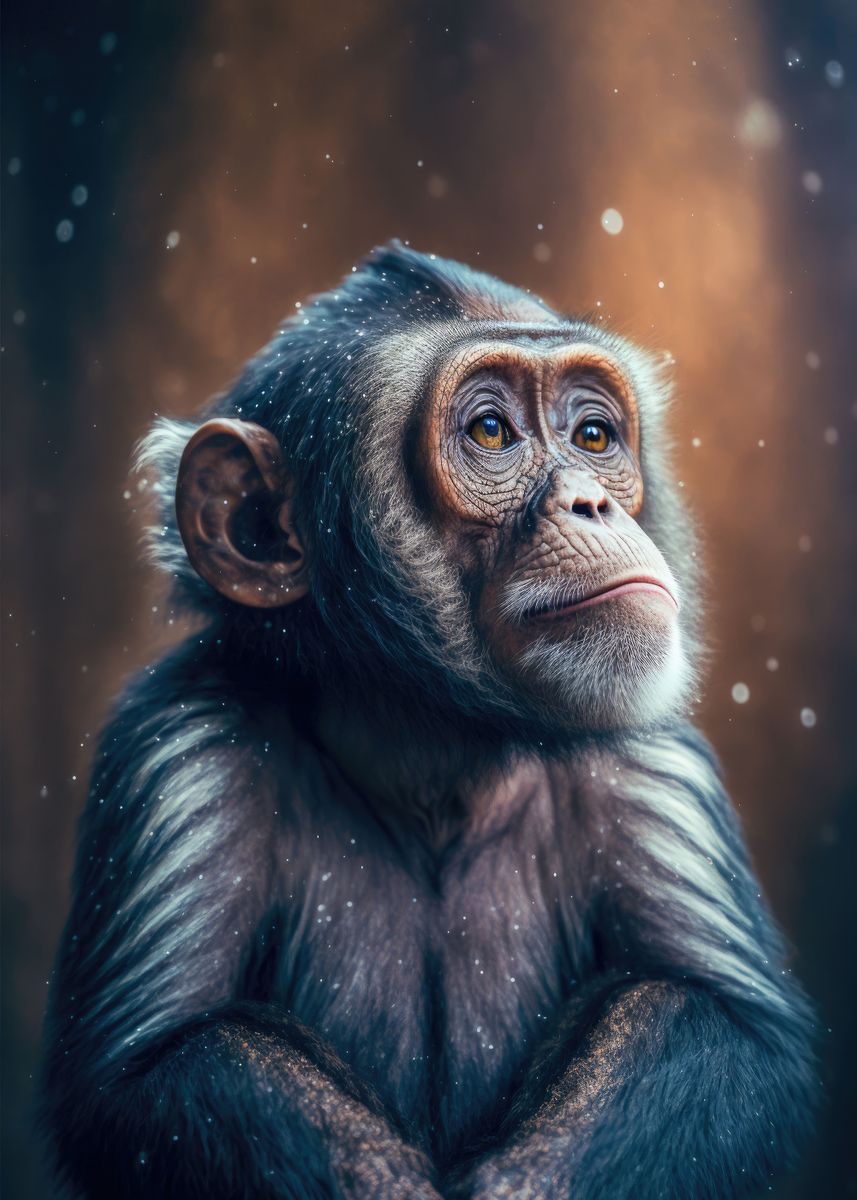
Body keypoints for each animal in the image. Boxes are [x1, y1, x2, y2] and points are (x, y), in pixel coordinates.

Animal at [41, 243, 816, 1200]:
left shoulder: (654, 772)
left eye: (592, 438)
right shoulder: (178, 754)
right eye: (488, 432)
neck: (433, 743)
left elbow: (721, 1018)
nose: (590, 502)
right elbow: (158, 1059)